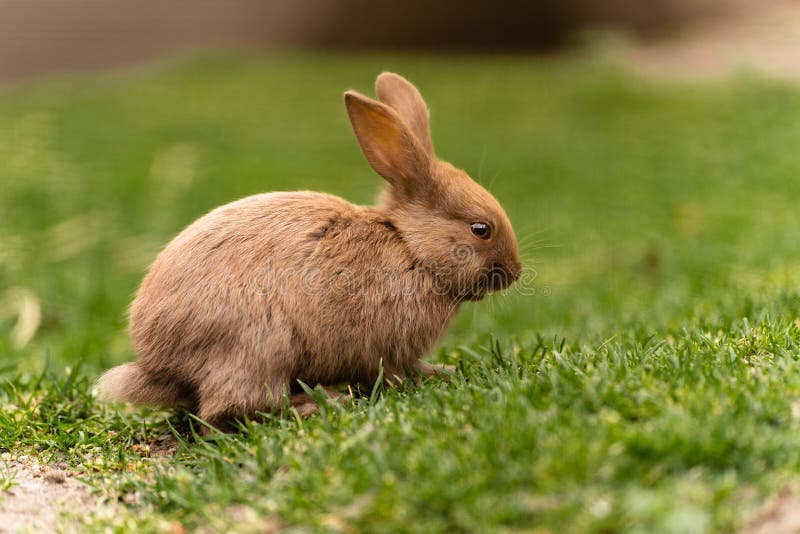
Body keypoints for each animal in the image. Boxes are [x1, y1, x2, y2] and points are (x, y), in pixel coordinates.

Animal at [97, 72, 522, 431]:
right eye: (481, 229)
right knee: (228, 413)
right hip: (258, 345)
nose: (515, 272)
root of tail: (158, 366)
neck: (411, 248)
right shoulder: (385, 346)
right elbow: (396, 371)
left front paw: (444, 372)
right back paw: (320, 403)